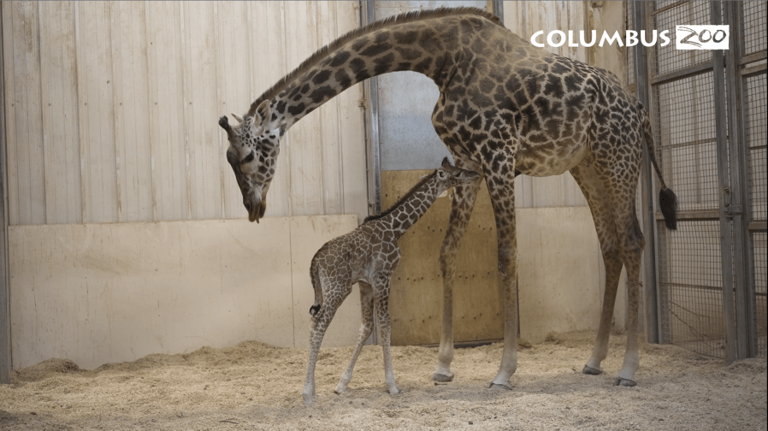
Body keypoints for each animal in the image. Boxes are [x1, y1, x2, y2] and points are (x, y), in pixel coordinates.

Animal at [301, 158, 479, 405]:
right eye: (458, 172)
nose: (476, 174)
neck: (396, 228)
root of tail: (315, 261)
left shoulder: (365, 285)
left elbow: (366, 327)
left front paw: (342, 384)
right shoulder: (383, 277)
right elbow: (385, 325)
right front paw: (392, 385)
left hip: (331, 289)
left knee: (314, 324)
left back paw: (314, 388)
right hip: (338, 288)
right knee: (318, 324)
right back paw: (307, 392)